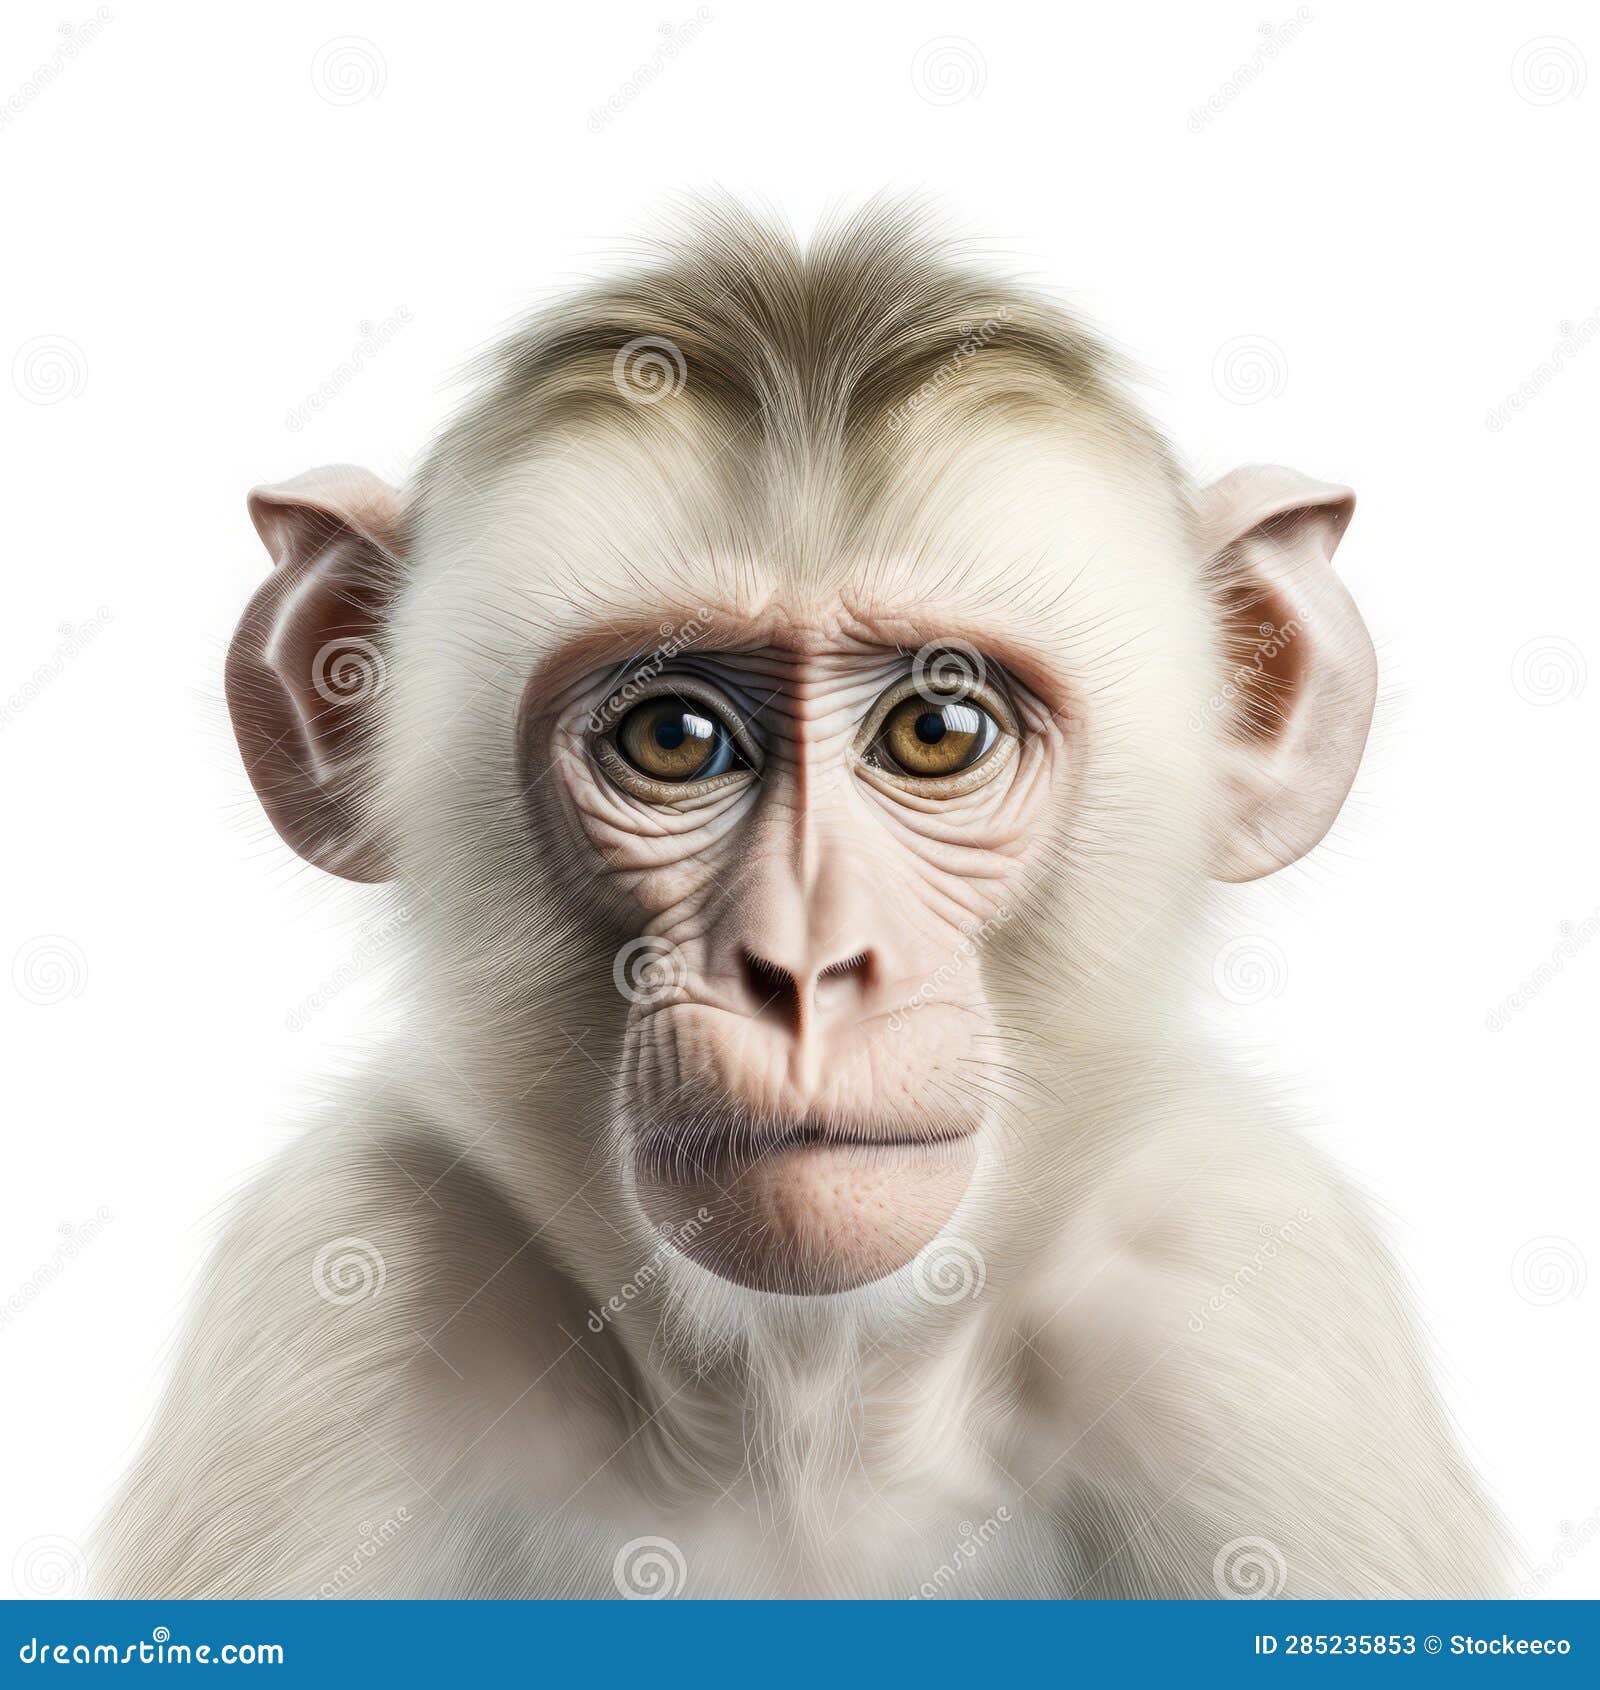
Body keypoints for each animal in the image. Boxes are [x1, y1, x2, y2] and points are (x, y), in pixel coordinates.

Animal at [93, 200, 1510, 1600]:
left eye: (937, 729)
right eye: (673, 737)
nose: (805, 961)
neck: (806, 1421)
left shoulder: (1244, 1305)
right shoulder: (337, 1296)